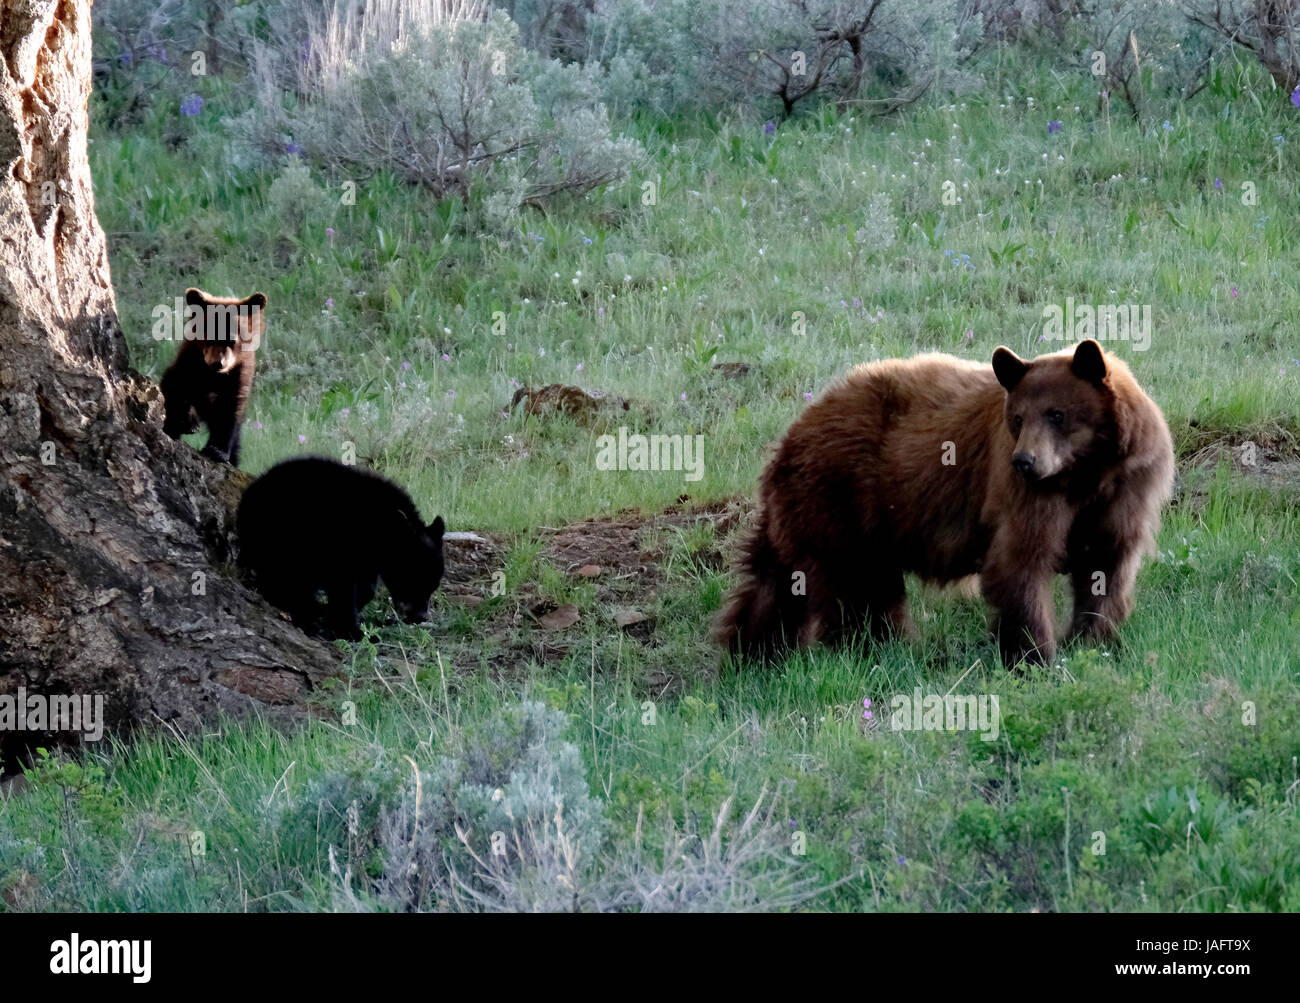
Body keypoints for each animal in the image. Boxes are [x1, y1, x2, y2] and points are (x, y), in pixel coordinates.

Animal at [160, 287, 266, 466]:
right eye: (209, 335)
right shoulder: (188, 360)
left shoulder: (239, 375)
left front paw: (217, 451)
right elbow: (174, 386)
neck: (213, 376)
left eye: (232, 340)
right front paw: (180, 422)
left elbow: (229, 412)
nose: (218, 363)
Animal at [236, 456, 446, 640]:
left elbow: (366, 586)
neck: (376, 523)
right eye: (412, 578)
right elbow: (343, 585)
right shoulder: (341, 544)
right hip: (282, 541)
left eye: (433, 584)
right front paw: (352, 631)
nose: (419, 617)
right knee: (287, 580)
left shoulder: (367, 556)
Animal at [714, 338, 1174, 667]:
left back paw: (764, 651)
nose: (1025, 461)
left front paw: (1091, 641)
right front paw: (1034, 655)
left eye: (1057, 414)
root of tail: (791, 434)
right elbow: (1021, 561)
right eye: (1018, 418)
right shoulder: (1023, 491)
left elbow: (1106, 564)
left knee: (793, 582)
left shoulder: (1129, 485)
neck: (1088, 474)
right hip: (839, 500)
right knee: (843, 586)